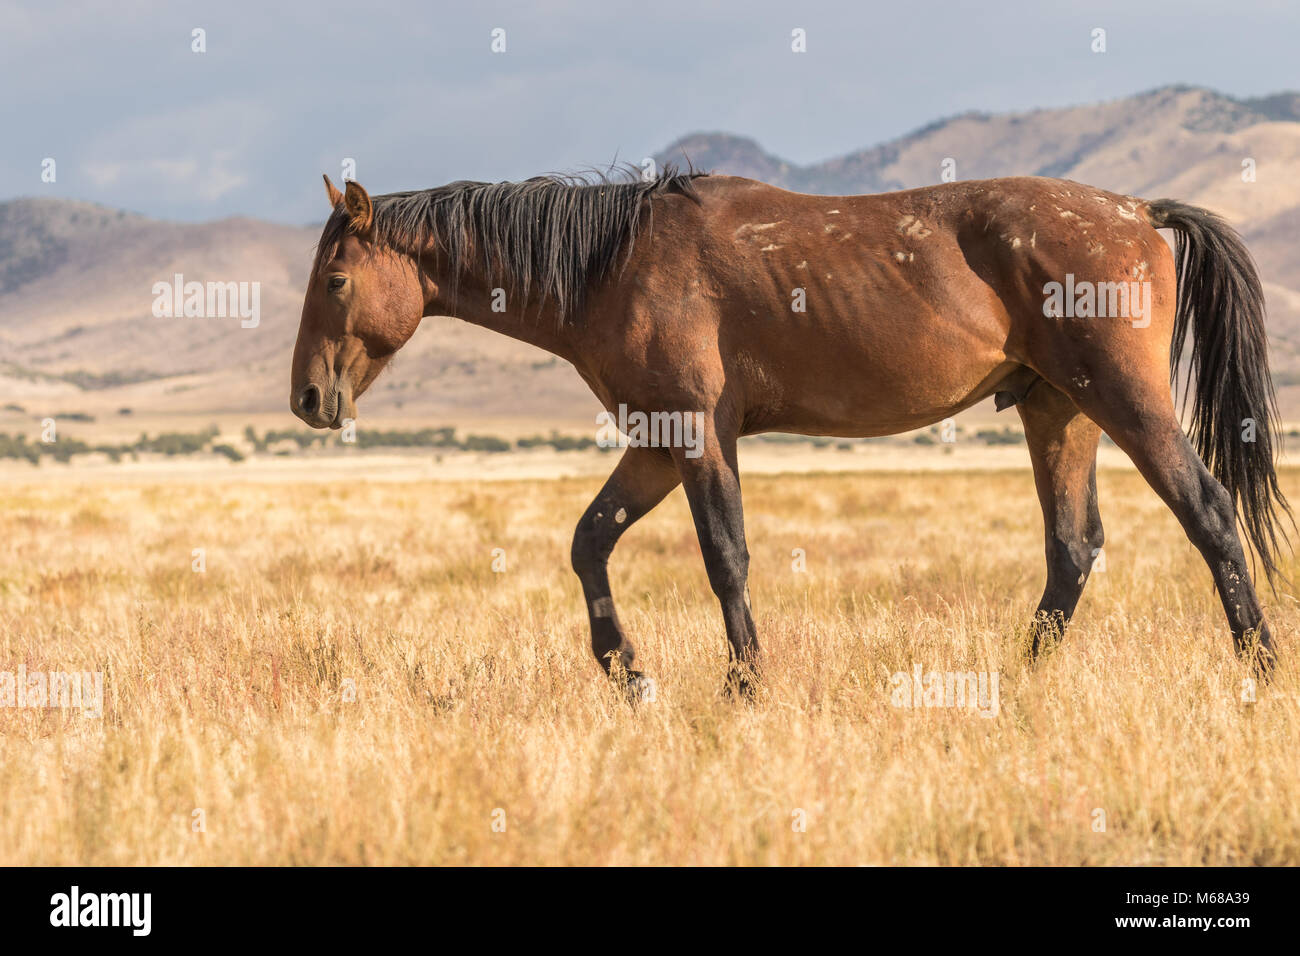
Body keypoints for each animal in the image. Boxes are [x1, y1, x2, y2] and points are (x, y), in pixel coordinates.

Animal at [290, 168, 1290, 698]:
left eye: (335, 281)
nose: (307, 398)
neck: (615, 263)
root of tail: (1140, 213)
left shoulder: (697, 435)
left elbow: (724, 556)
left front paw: (744, 684)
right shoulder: (657, 443)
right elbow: (589, 543)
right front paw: (628, 672)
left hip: (1125, 401)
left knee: (1208, 515)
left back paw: (1263, 666)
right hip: (1058, 411)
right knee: (1073, 549)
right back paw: (1019, 677)